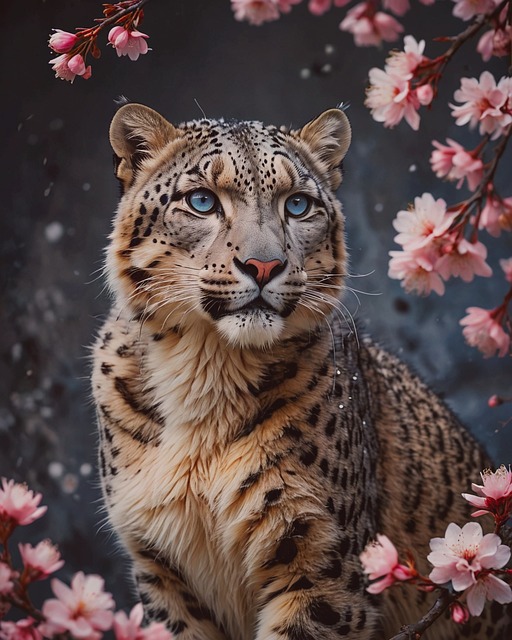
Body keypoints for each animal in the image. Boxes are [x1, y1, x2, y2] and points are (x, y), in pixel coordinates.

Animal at [91, 103, 510, 640]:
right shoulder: (161, 570)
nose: (262, 265)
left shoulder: (320, 562)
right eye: (202, 200)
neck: (206, 367)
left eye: (297, 205)